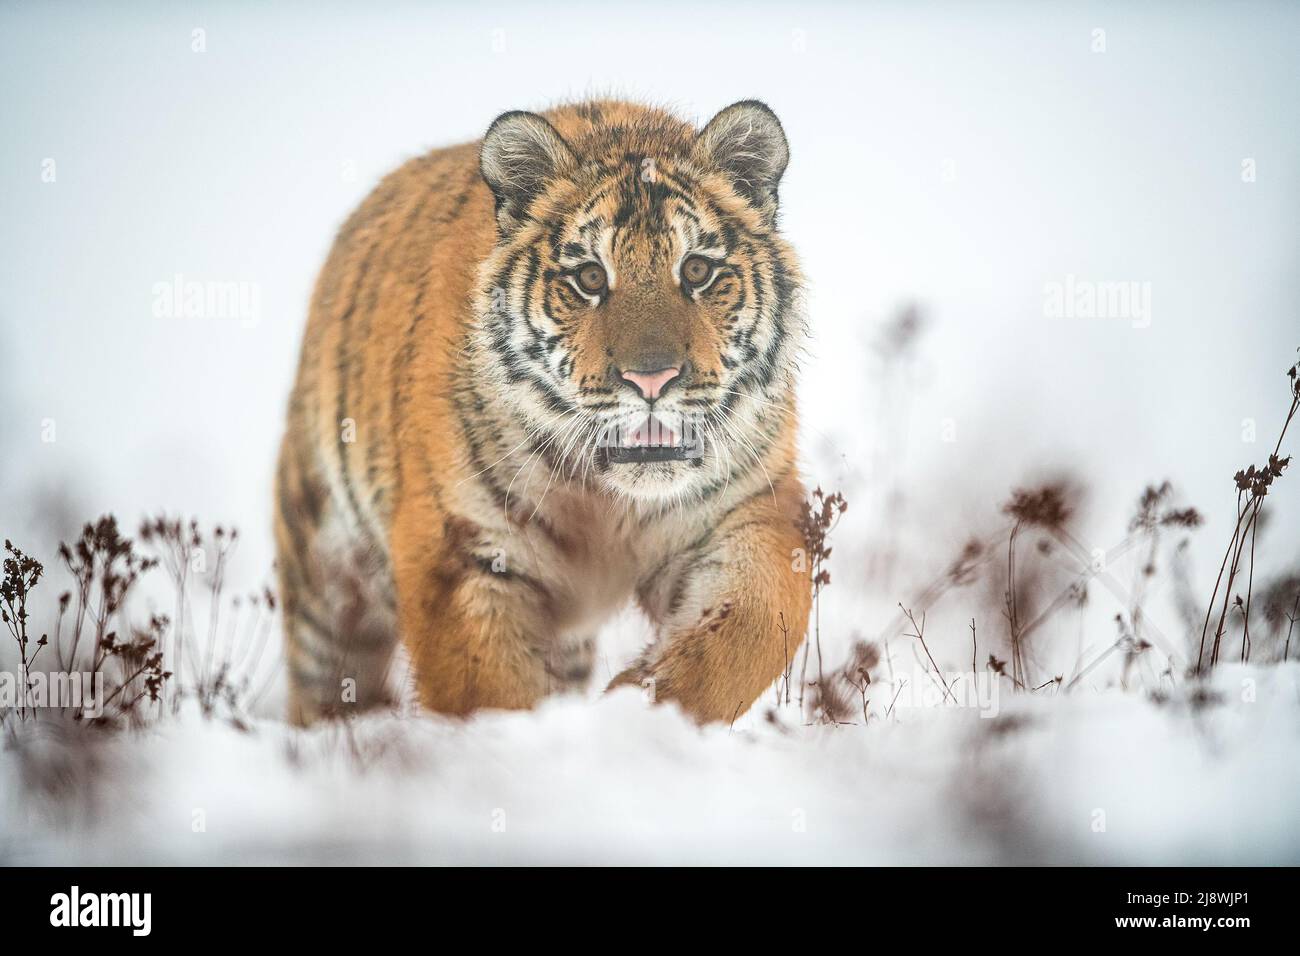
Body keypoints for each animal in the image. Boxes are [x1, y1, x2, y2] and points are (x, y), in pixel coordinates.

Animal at [274, 99, 813, 726]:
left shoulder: (750, 512)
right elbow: (491, 694)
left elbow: (749, 633)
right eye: (590, 278)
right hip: (323, 574)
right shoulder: (461, 550)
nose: (651, 378)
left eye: (697, 271)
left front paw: (635, 709)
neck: (610, 502)